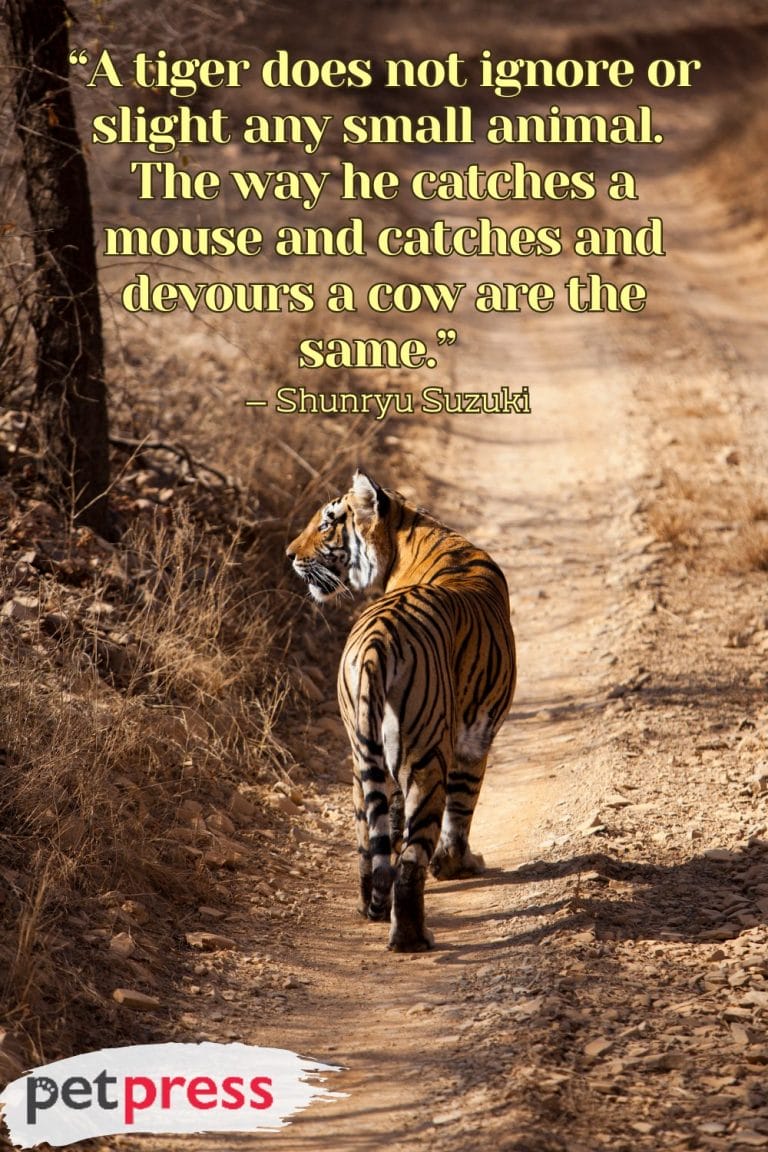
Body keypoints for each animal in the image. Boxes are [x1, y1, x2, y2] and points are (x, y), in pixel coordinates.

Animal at [287, 471, 516, 952]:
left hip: (360, 752)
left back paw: (370, 908)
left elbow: (388, 821)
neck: (412, 535)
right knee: (414, 854)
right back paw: (411, 936)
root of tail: (376, 641)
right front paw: (458, 865)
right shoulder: (476, 738)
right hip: (427, 755)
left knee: (367, 841)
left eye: (326, 523)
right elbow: (462, 808)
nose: (289, 555)